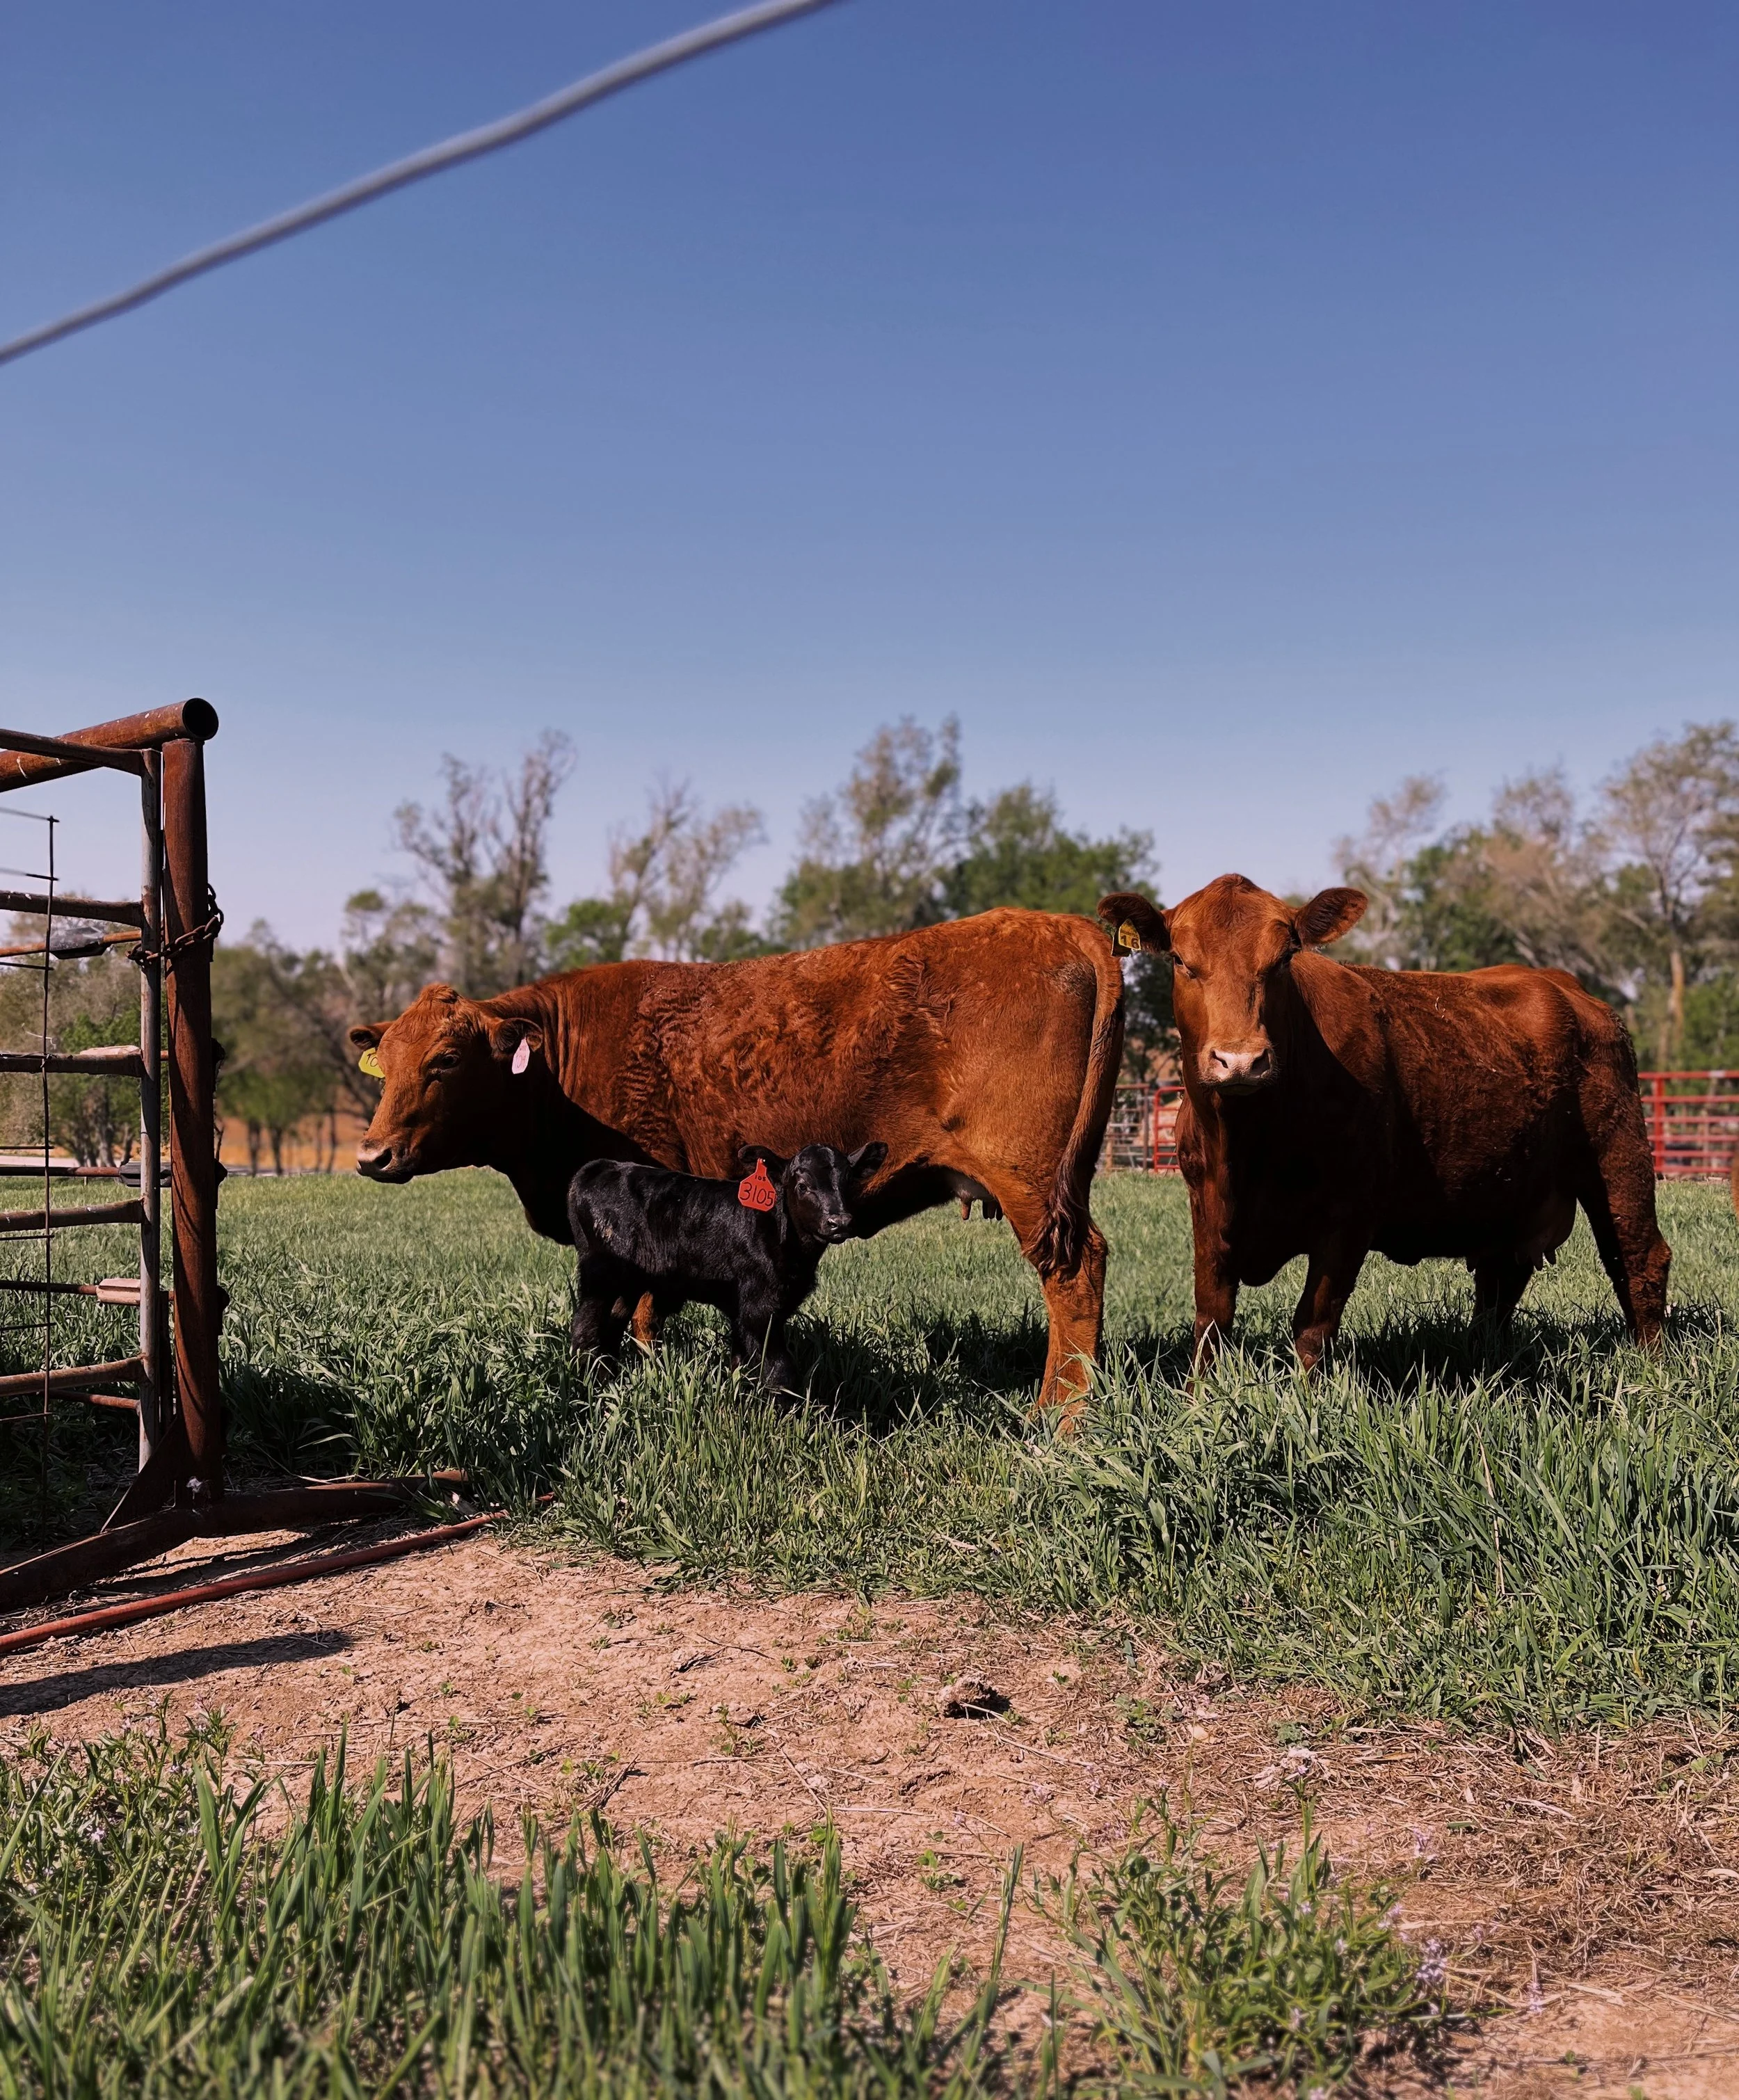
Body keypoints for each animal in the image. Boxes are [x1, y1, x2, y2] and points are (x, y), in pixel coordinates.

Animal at [568, 1141, 887, 1393]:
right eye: (802, 1186)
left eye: (848, 1186)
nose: (839, 1222)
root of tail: (603, 1166)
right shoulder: (759, 1310)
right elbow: (778, 1372)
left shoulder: (752, 1310)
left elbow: (742, 1364)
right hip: (601, 1274)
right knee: (585, 1328)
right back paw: (587, 1384)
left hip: (631, 1282)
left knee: (611, 1326)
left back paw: (609, 1377)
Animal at [1098, 875, 1670, 1367]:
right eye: (1180, 959)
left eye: (1283, 959)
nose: (1240, 1060)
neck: (1247, 1147)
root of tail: (1566, 987)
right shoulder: (1207, 1207)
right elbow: (1211, 1319)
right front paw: (1202, 1398)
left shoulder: (1350, 1217)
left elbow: (1313, 1324)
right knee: (1501, 1279)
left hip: (1619, 1160)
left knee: (1639, 1259)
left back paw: (1652, 1369)